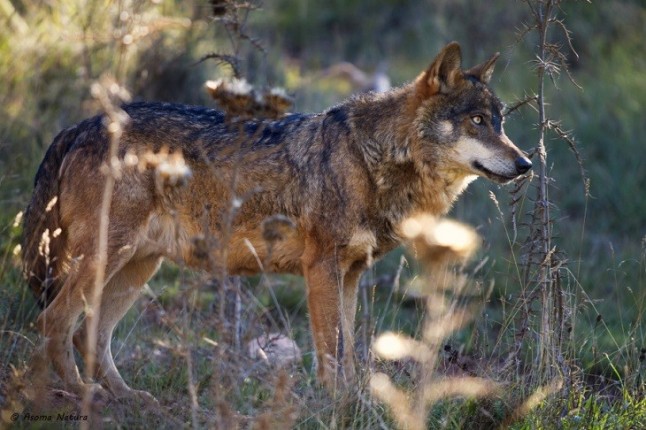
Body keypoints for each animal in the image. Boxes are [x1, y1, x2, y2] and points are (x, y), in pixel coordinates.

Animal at [22, 42, 531, 400]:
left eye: (501, 122)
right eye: (477, 120)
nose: (525, 163)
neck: (371, 160)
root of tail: (79, 125)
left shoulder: (351, 274)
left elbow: (349, 351)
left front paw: (353, 401)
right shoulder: (321, 268)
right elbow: (332, 349)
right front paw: (335, 404)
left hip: (138, 268)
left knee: (89, 333)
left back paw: (126, 397)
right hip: (107, 261)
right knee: (54, 322)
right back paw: (82, 395)